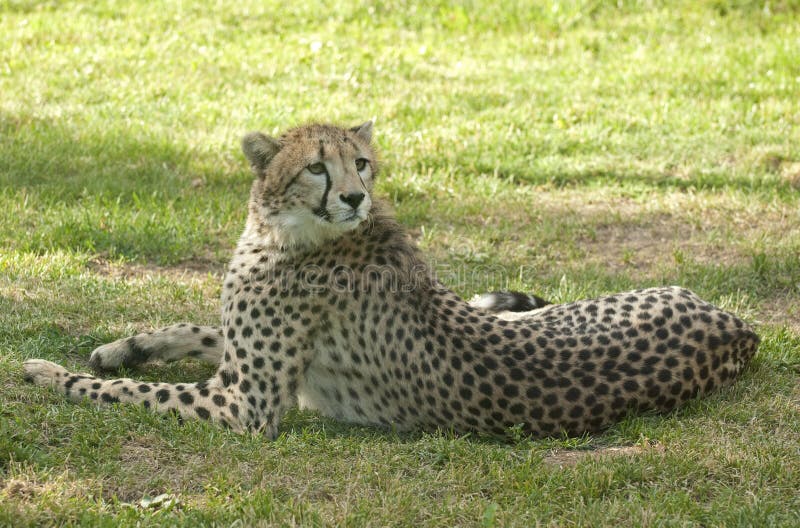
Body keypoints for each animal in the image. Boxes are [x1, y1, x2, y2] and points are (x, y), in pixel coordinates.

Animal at [23, 121, 760, 439]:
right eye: (317, 166)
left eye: (362, 163)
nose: (353, 197)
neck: (285, 230)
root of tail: (740, 327)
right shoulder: (238, 362)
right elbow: (195, 329)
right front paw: (124, 347)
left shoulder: (244, 406)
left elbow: (120, 392)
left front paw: (47, 373)